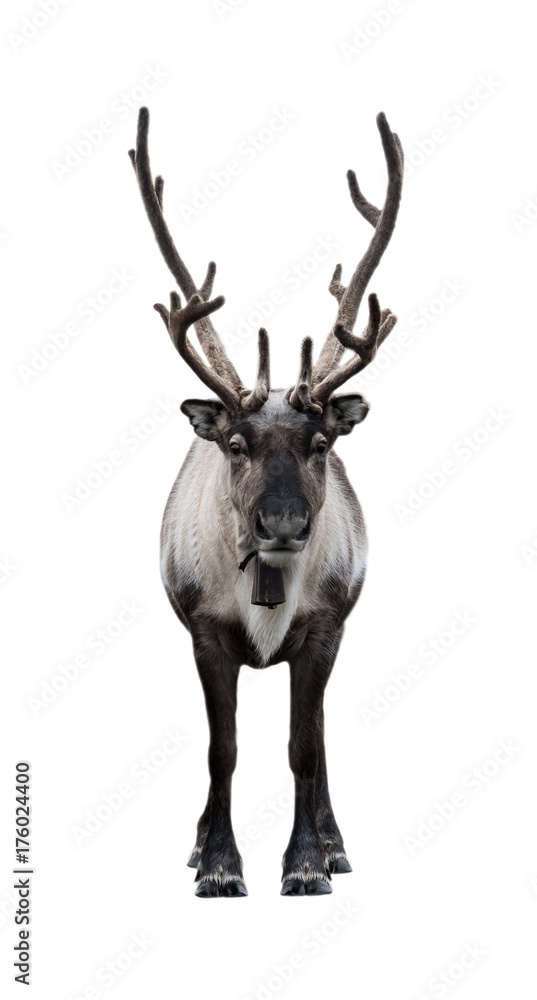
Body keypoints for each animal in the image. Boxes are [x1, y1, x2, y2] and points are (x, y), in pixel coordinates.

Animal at [128, 106, 403, 897]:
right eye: (235, 443)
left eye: (320, 442)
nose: (281, 520)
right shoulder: (203, 631)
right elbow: (221, 750)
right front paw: (218, 865)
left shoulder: (323, 629)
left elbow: (302, 746)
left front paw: (307, 862)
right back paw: (199, 844)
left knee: (319, 734)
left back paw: (336, 843)